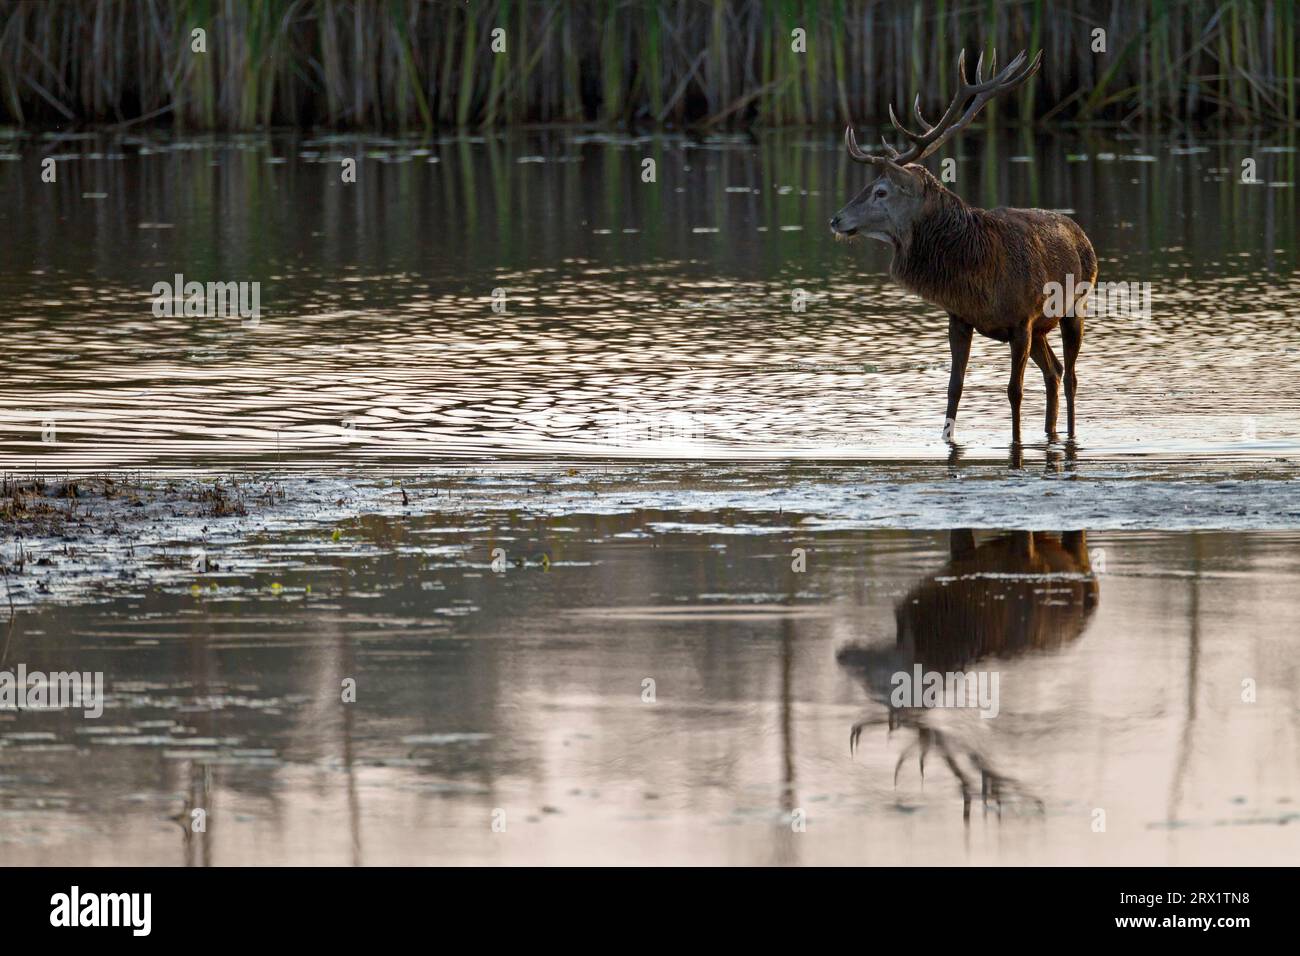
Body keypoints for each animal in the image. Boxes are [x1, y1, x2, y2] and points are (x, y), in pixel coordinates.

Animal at [830, 50, 1097, 446]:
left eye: (881, 191)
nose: (836, 220)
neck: (979, 275)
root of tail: (1081, 235)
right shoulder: (959, 318)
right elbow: (953, 387)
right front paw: (946, 439)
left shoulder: (1021, 320)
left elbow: (1013, 390)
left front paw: (1015, 442)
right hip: (1041, 329)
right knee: (1055, 370)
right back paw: (1049, 431)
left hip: (1072, 308)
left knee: (1072, 376)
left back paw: (1068, 434)